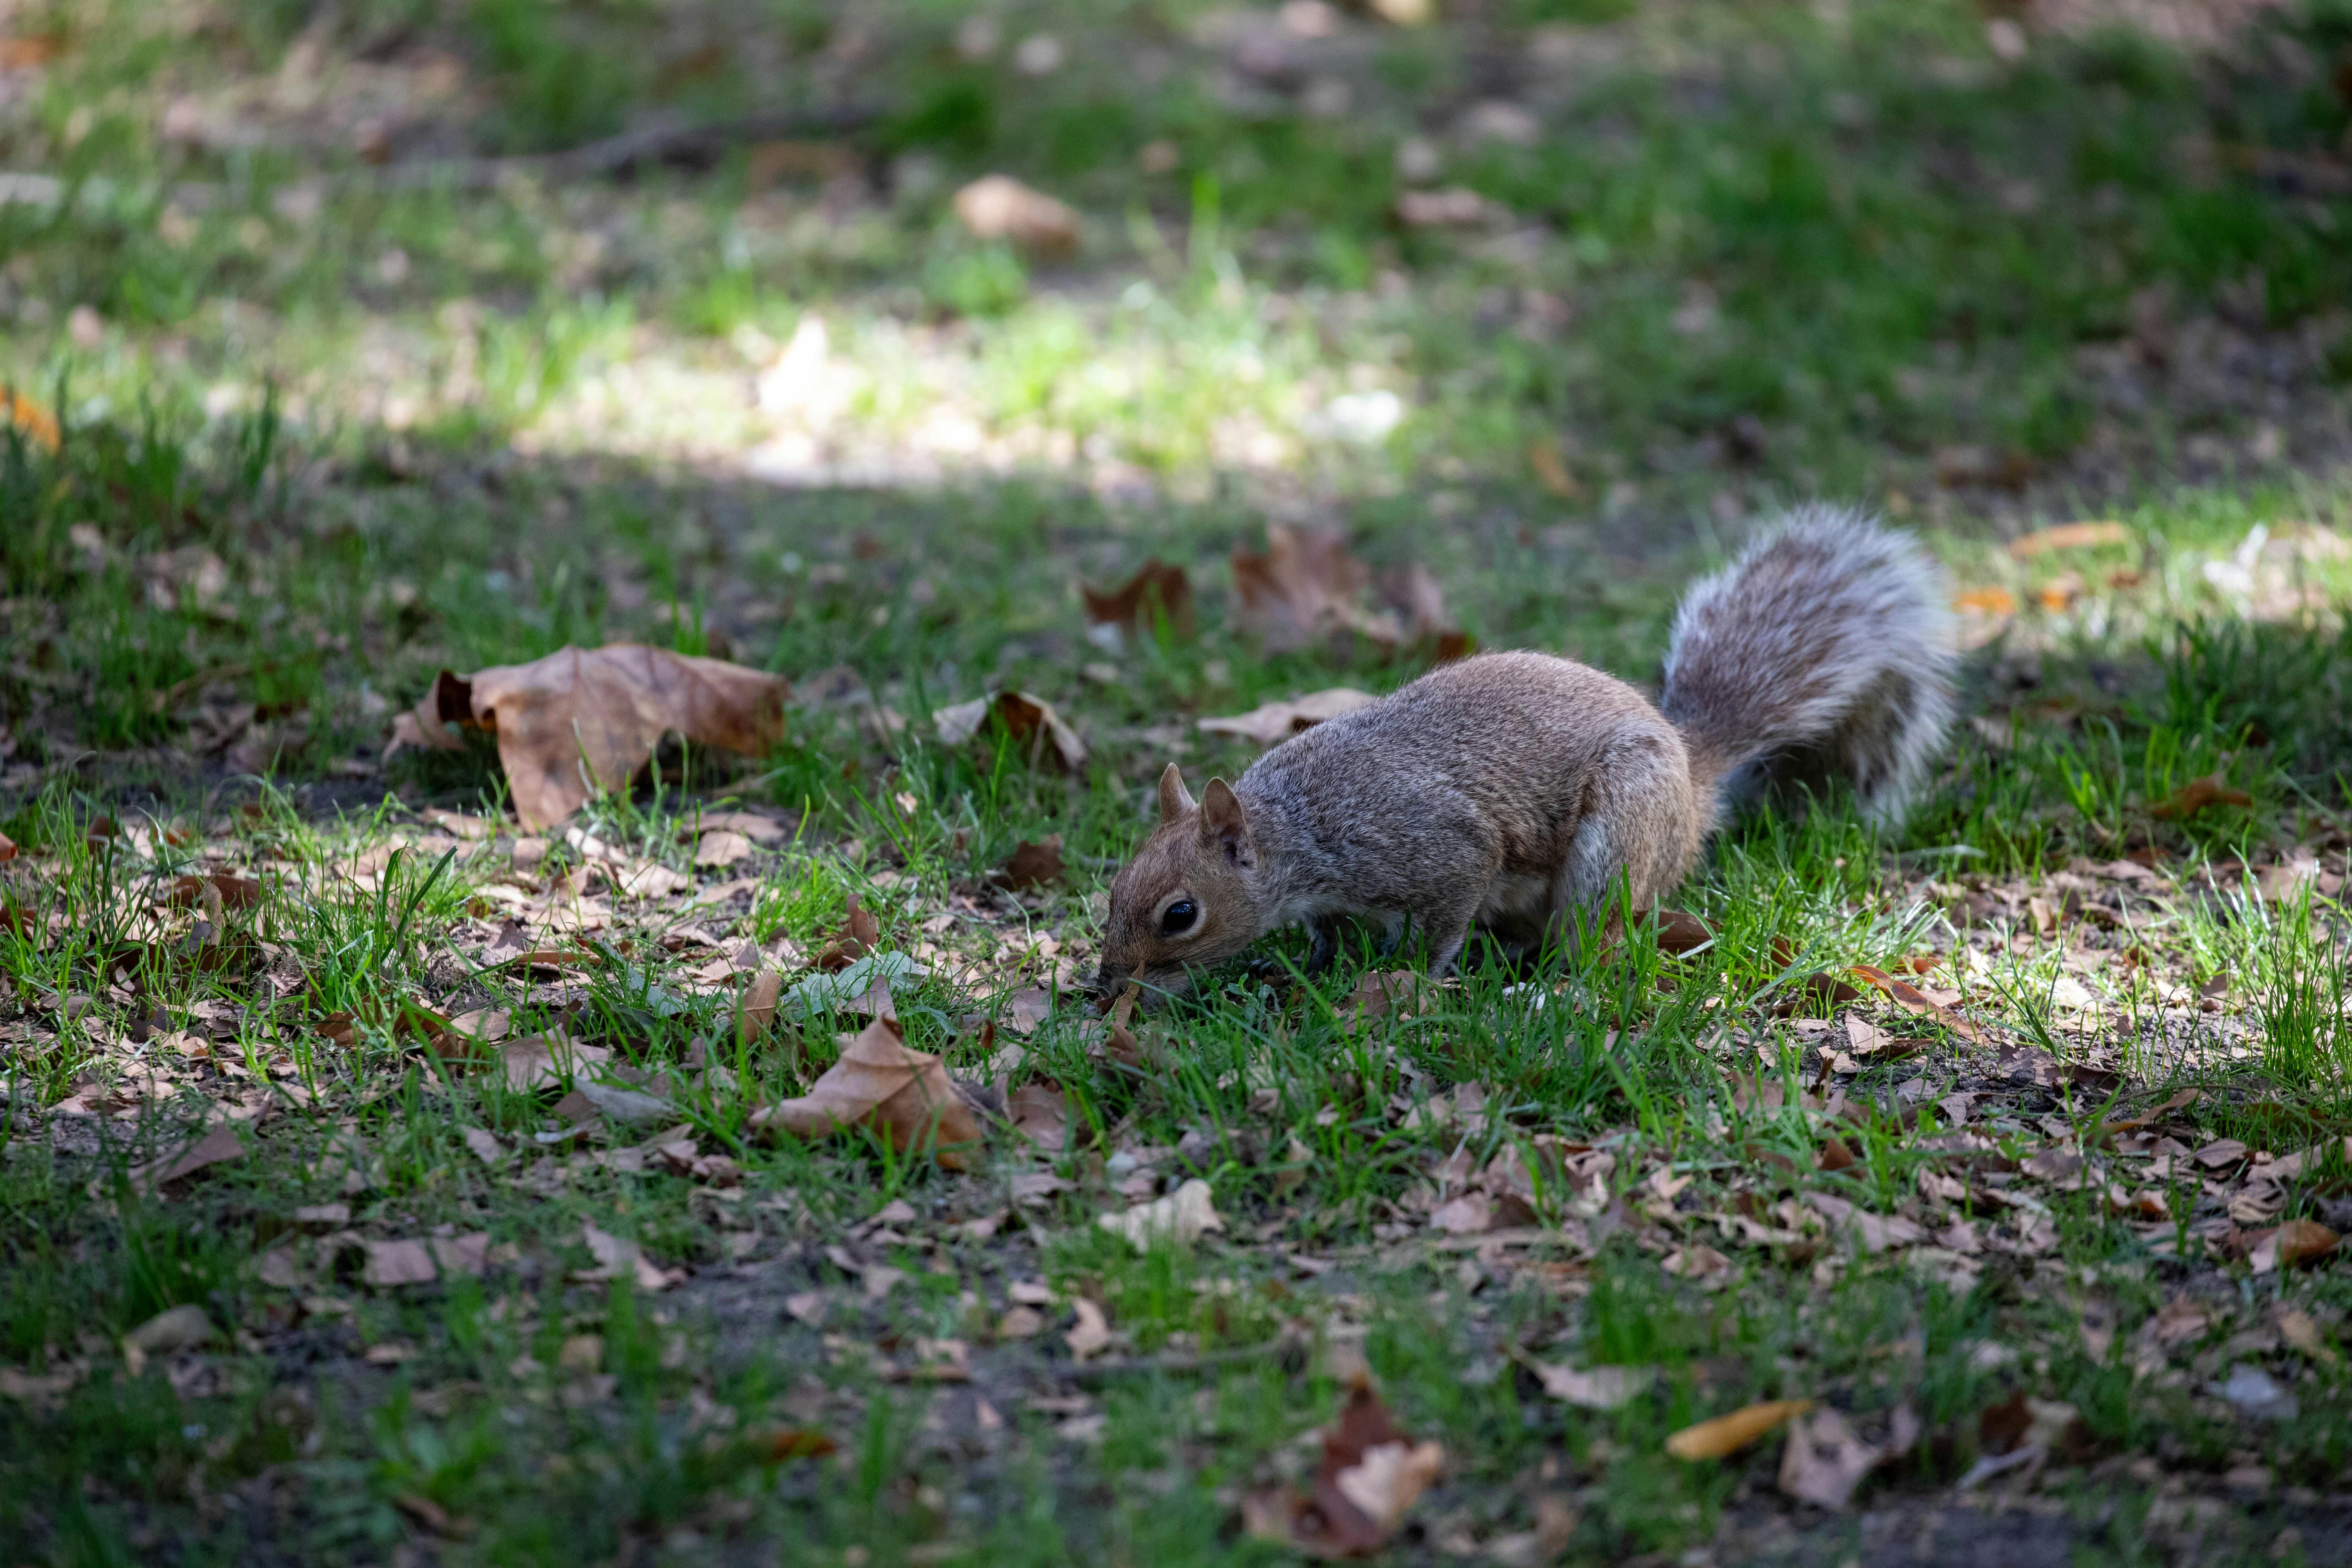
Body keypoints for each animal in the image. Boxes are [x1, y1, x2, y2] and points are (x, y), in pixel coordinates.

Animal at [1093, 506, 1956, 1001]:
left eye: (1180, 915)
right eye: (1115, 886)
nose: (1107, 984)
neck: (1300, 827)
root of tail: (1690, 777)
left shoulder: (1439, 851)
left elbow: (1442, 923)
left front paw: (1415, 979)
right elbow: (1326, 932)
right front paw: (1311, 961)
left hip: (1615, 847)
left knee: (1591, 939)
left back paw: (1537, 989)